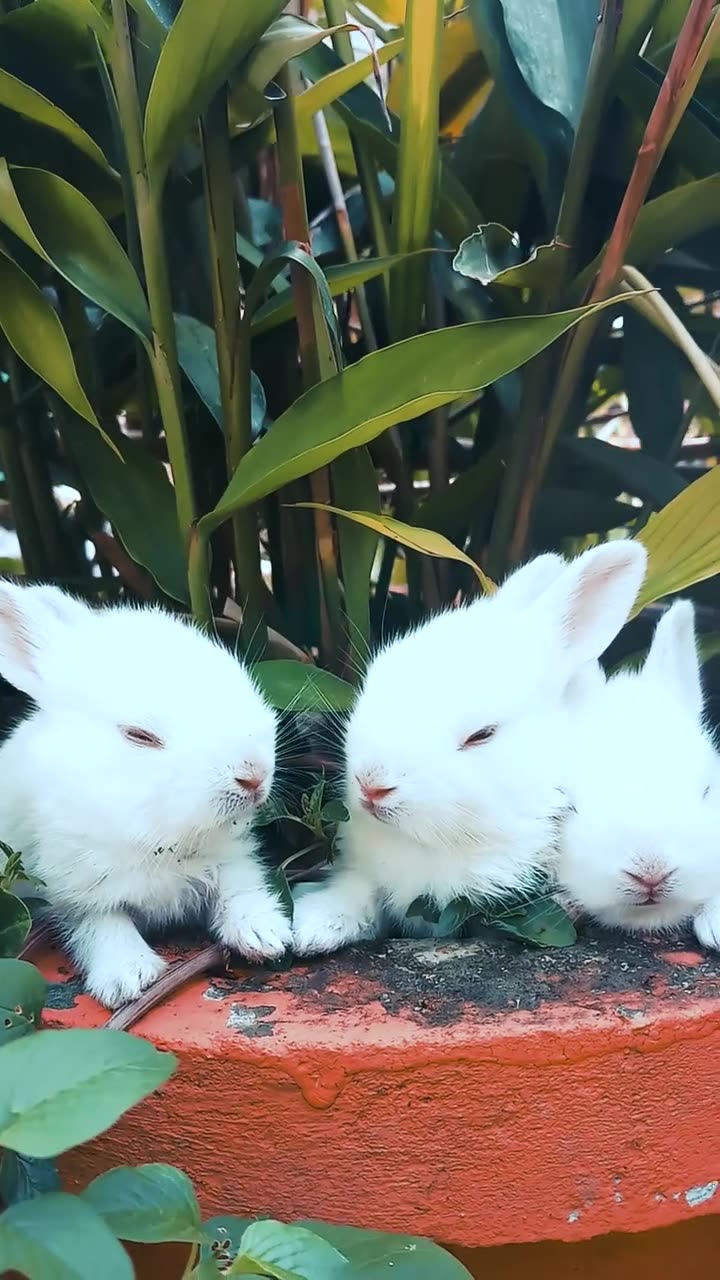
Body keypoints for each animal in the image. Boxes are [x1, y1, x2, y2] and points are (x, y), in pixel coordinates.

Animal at [0, 582, 292, 1007]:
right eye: (140, 736)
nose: (253, 775)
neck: (158, 837)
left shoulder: (232, 857)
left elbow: (240, 887)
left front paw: (265, 934)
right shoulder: (73, 892)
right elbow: (102, 926)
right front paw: (128, 979)